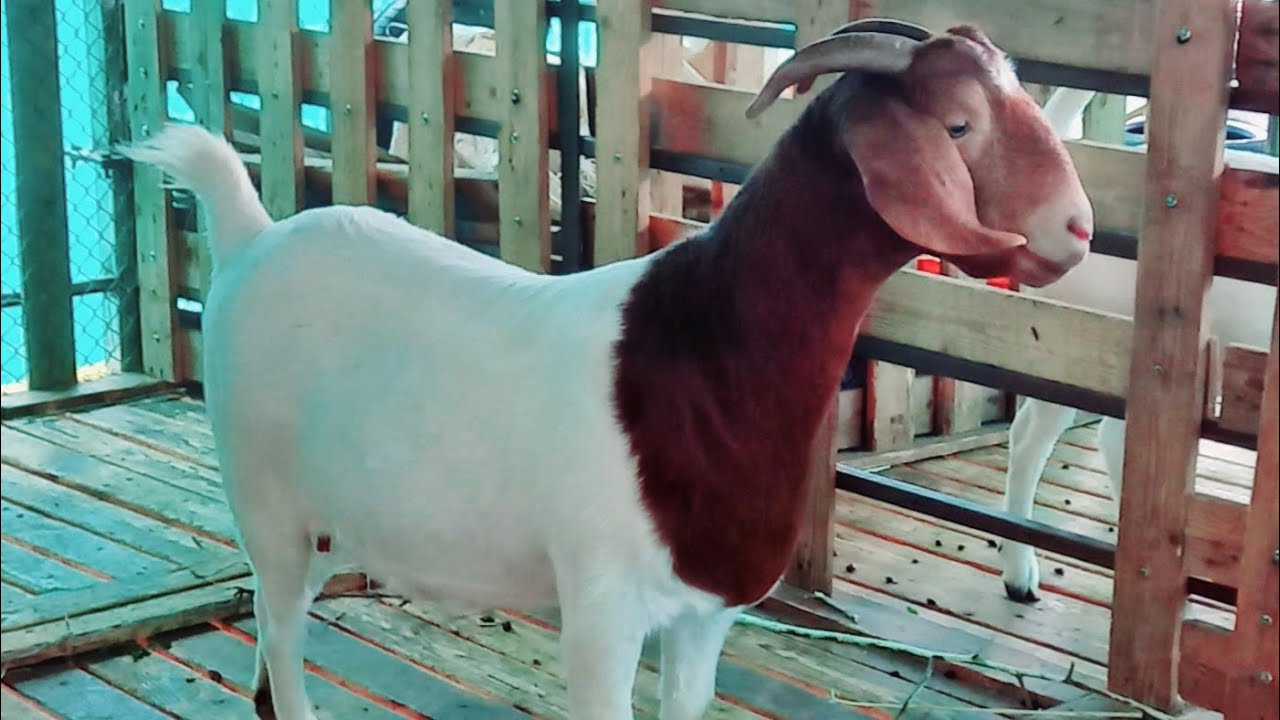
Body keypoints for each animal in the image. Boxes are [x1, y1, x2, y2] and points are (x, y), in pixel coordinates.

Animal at [119, 20, 1093, 720]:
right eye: (959, 125)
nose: (1079, 227)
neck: (705, 356)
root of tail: (252, 235)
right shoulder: (600, 610)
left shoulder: (704, 616)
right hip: (264, 495)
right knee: (283, 638)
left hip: (317, 520)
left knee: (267, 617)